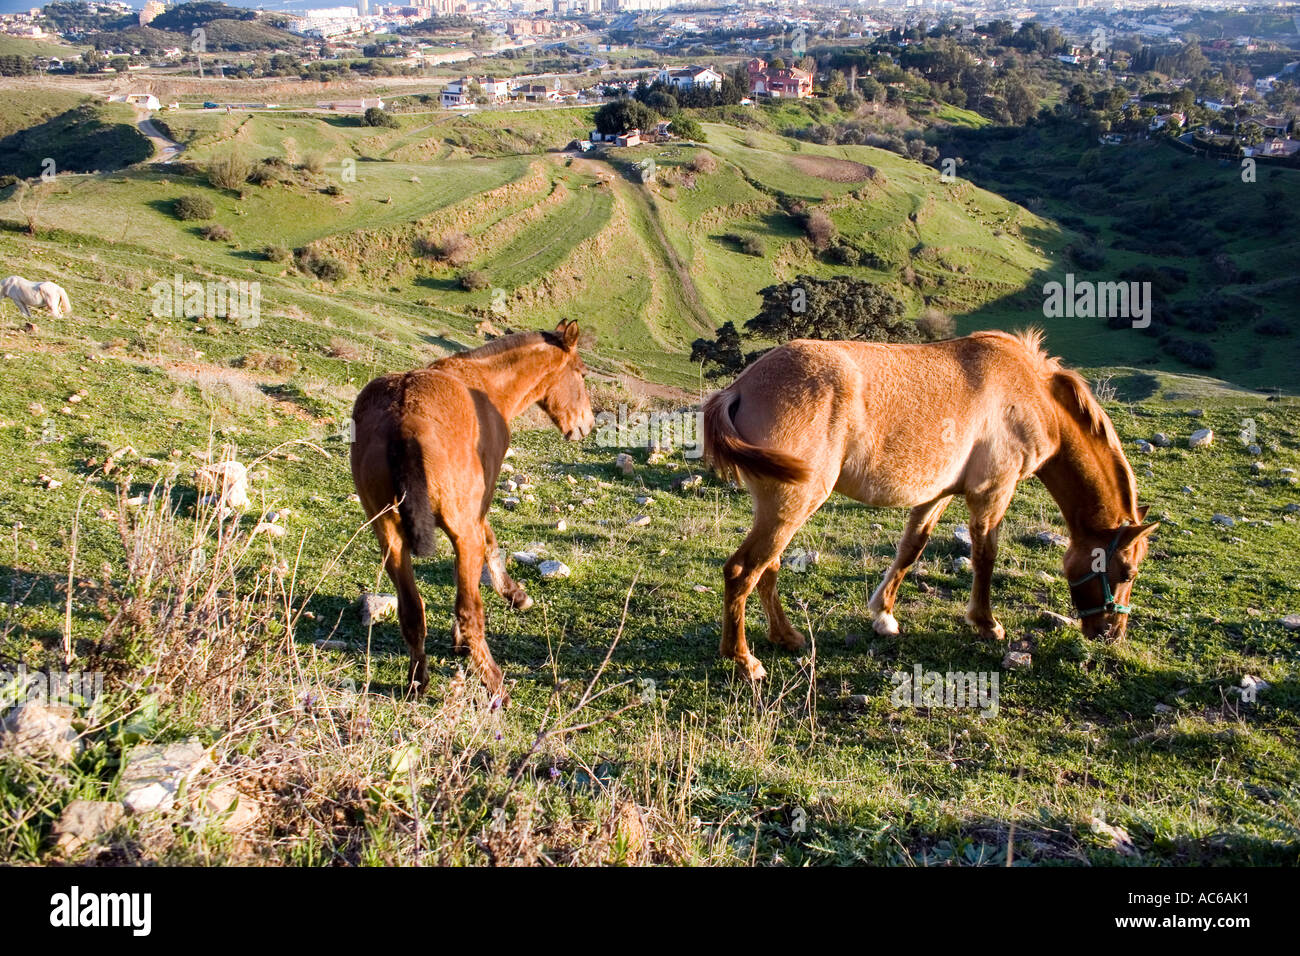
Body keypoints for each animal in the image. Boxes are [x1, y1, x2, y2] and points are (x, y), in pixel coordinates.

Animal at [350, 320, 595, 699]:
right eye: (581, 374)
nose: (587, 424)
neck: (486, 383)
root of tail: (404, 422)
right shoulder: (473, 514)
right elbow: (486, 549)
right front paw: (512, 596)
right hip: (459, 531)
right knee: (468, 610)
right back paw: (493, 682)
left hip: (389, 536)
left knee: (412, 613)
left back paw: (418, 681)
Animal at [701, 329, 1158, 680]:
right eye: (1127, 571)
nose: (1111, 634)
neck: (1031, 392)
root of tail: (740, 387)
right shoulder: (993, 491)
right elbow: (985, 554)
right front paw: (985, 623)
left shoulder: (935, 495)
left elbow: (910, 550)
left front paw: (884, 615)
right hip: (793, 504)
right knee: (743, 571)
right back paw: (743, 660)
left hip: (781, 508)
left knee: (769, 567)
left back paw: (786, 637)